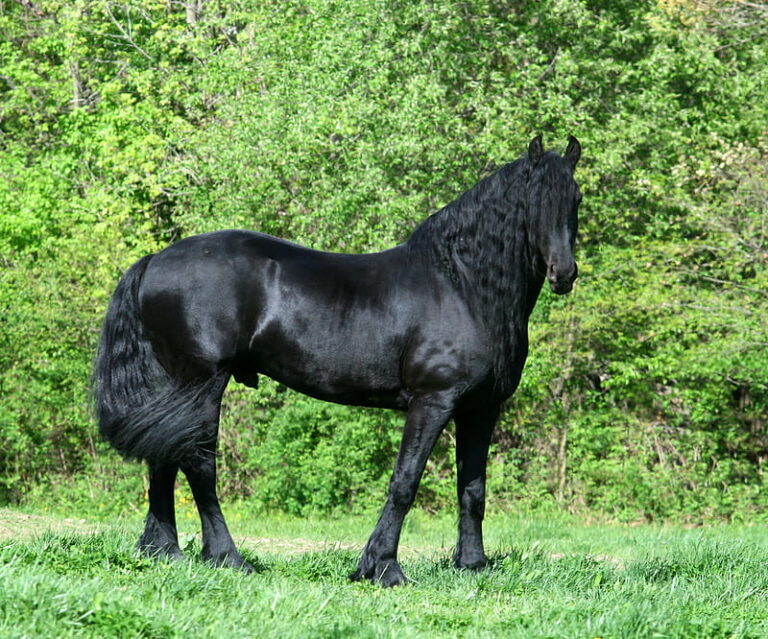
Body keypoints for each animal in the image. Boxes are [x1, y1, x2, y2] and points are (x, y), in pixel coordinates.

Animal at [94, 135, 582, 586]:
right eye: (533, 201)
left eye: (575, 199)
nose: (563, 273)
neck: (461, 286)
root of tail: (154, 260)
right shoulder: (432, 402)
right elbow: (404, 483)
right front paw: (383, 568)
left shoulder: (481, 410)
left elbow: (473, 489)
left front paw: (472, 565)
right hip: (203, 383)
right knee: (198, 464)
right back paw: (228, 557)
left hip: (174, 388)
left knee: (163, 456)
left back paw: (165, 552)